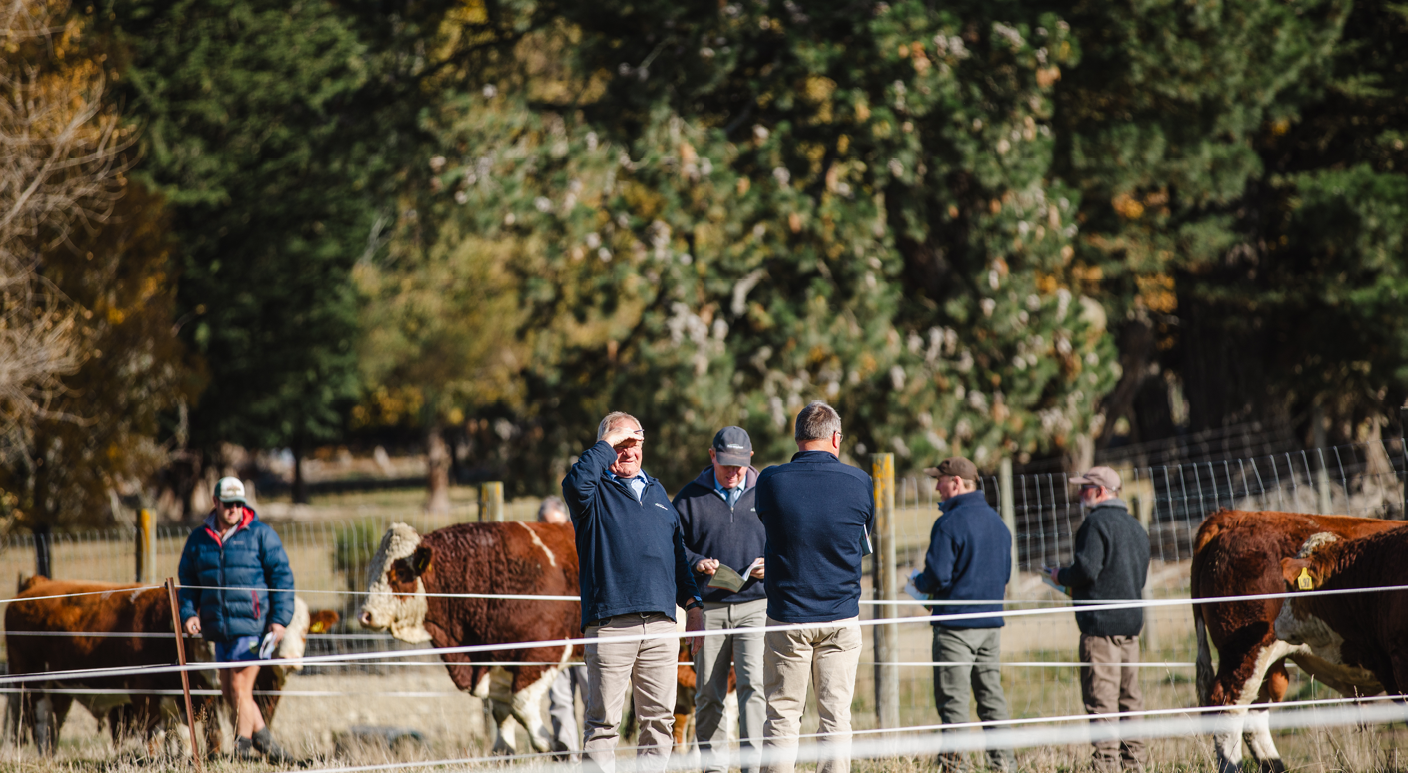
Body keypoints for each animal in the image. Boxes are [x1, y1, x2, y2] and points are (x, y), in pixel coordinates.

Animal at [358, 521, 581, 755]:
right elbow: (502, 713)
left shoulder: (544, 651)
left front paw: (558, 746)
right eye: (372, 570)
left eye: (400, 572)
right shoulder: (498, 664)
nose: (365, 615)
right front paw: (505, 751)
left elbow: (521, 706)